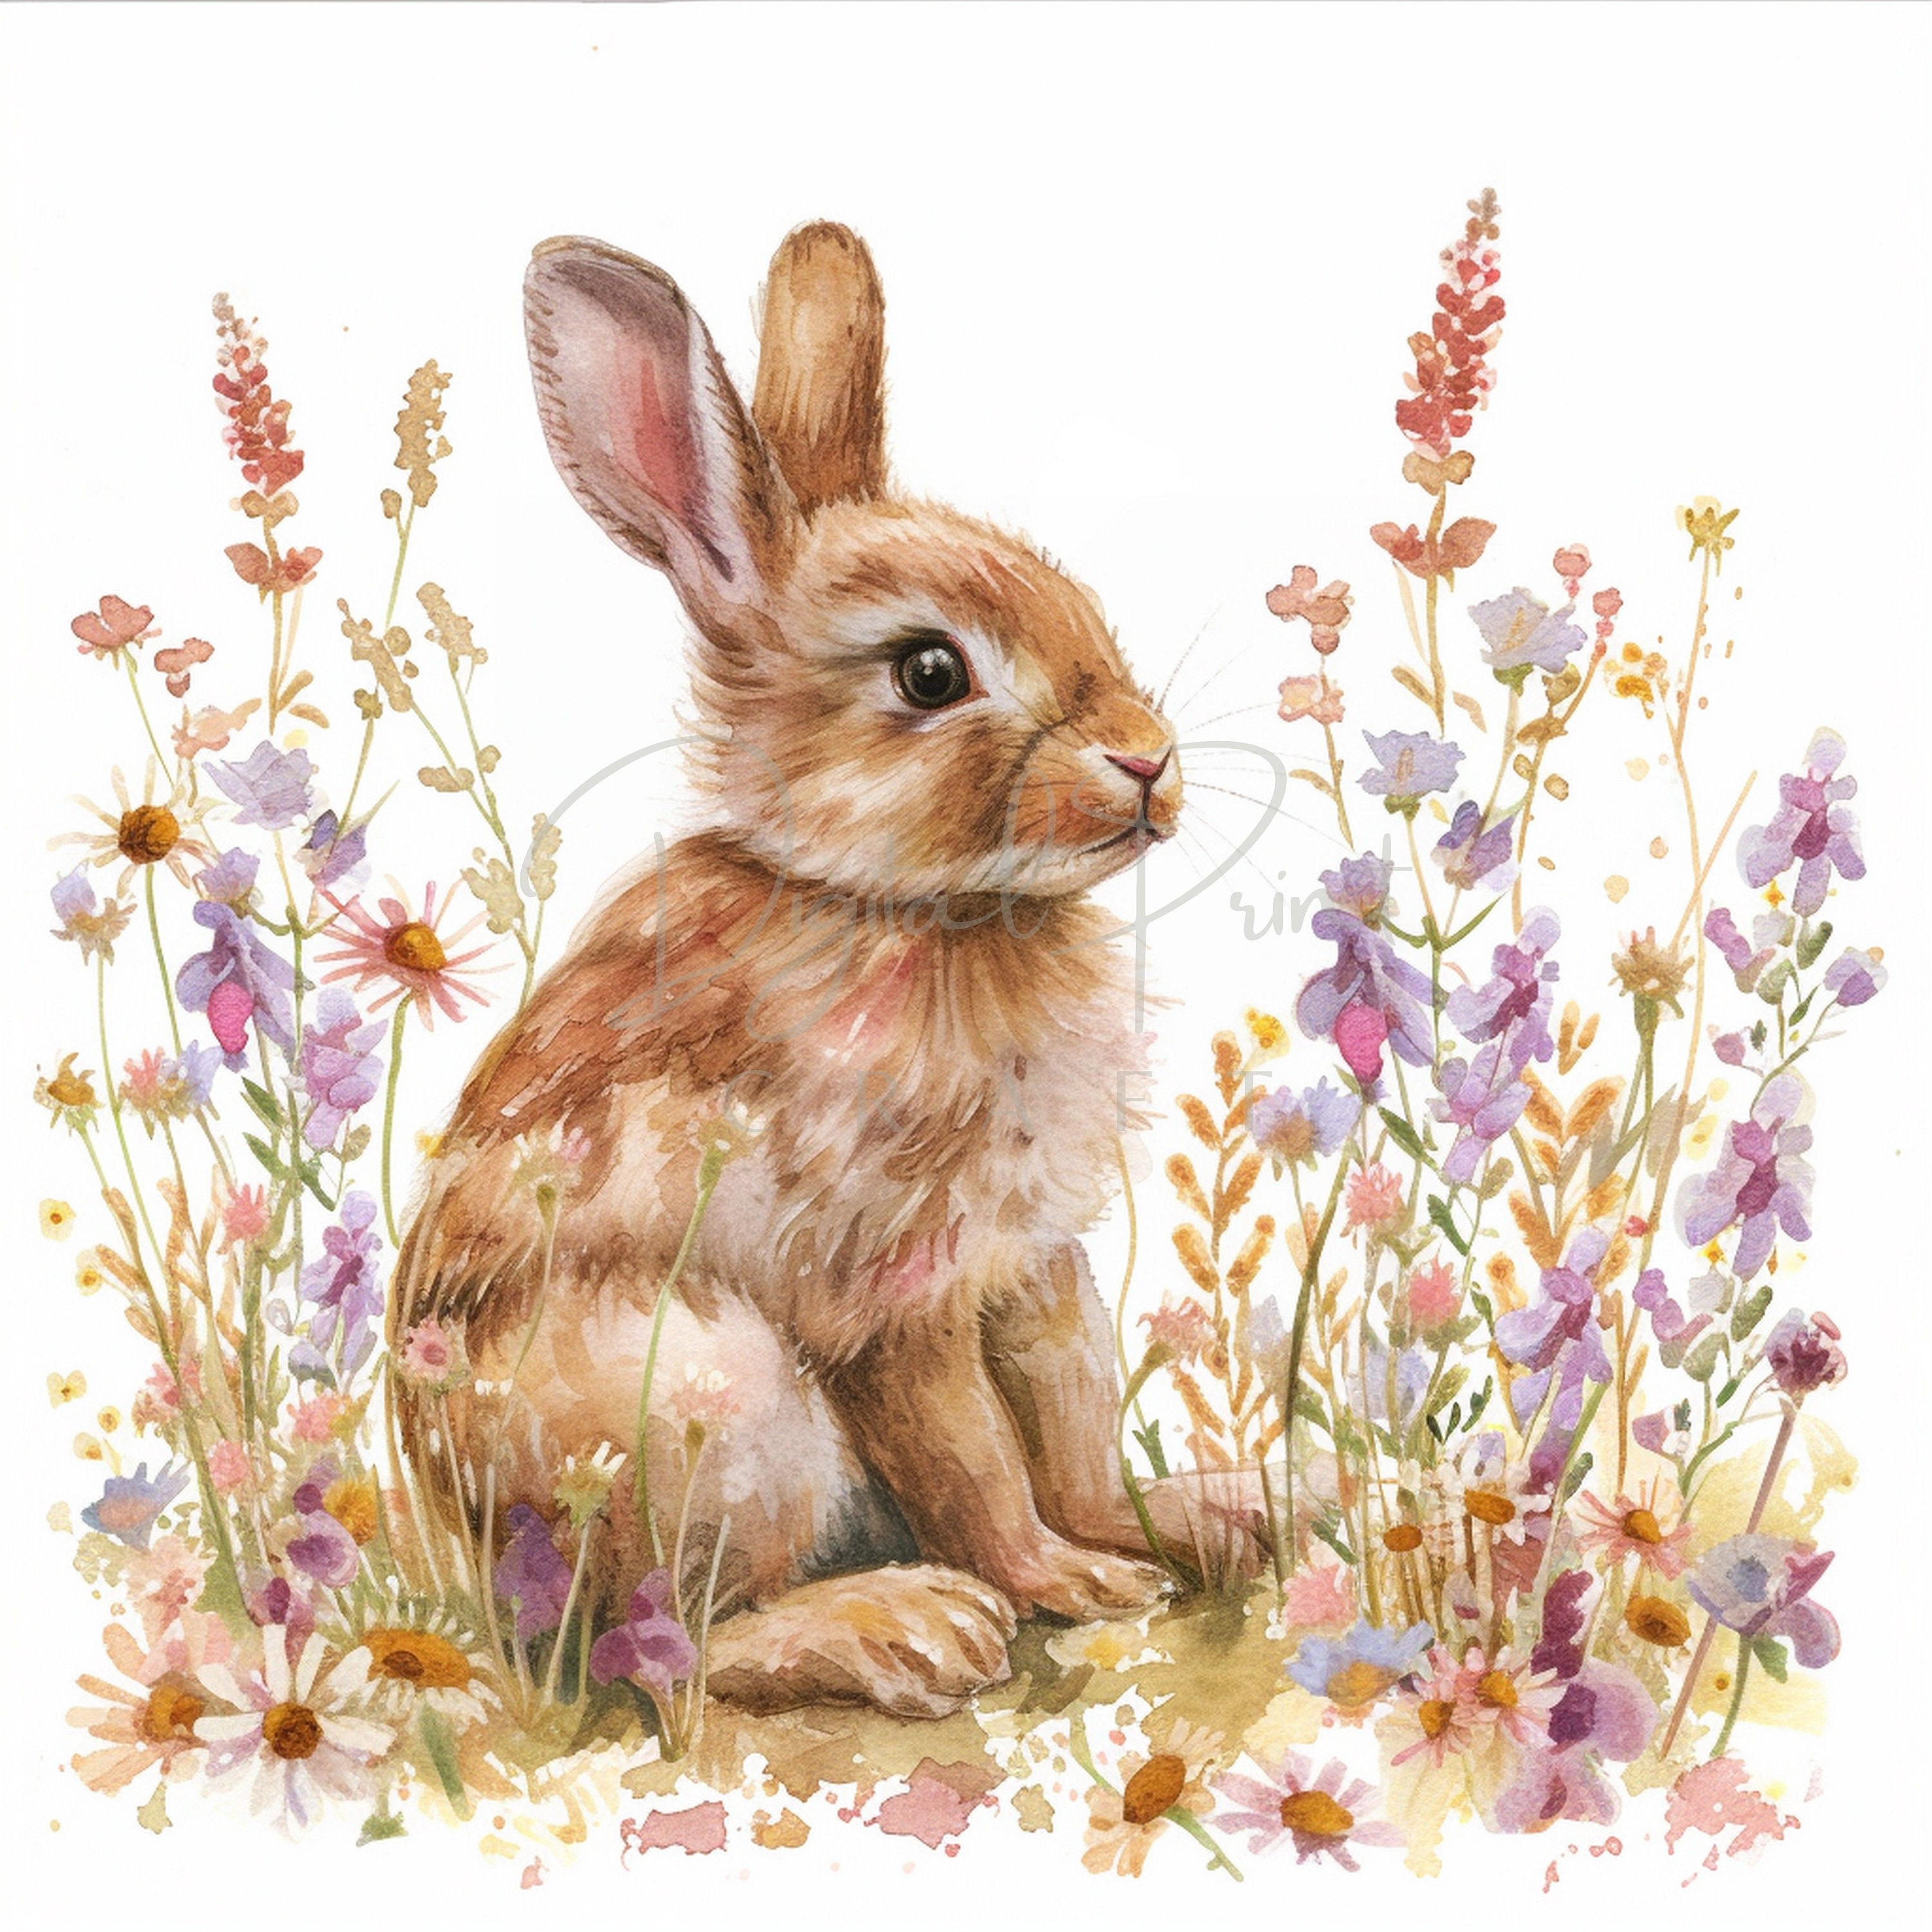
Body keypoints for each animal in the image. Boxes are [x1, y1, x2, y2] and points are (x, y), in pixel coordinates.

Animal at [391, 220, 1262, 1720]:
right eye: (930, 674)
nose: (1146, 761)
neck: (909, 908)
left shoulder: (1032, 1263)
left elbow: (1072, 1422)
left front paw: (1172, 1531)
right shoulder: (889, 1293)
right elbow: (975, 1460)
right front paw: (1067, 1586)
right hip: (712, 1402)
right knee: (674, 1652)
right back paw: (903, 1627)